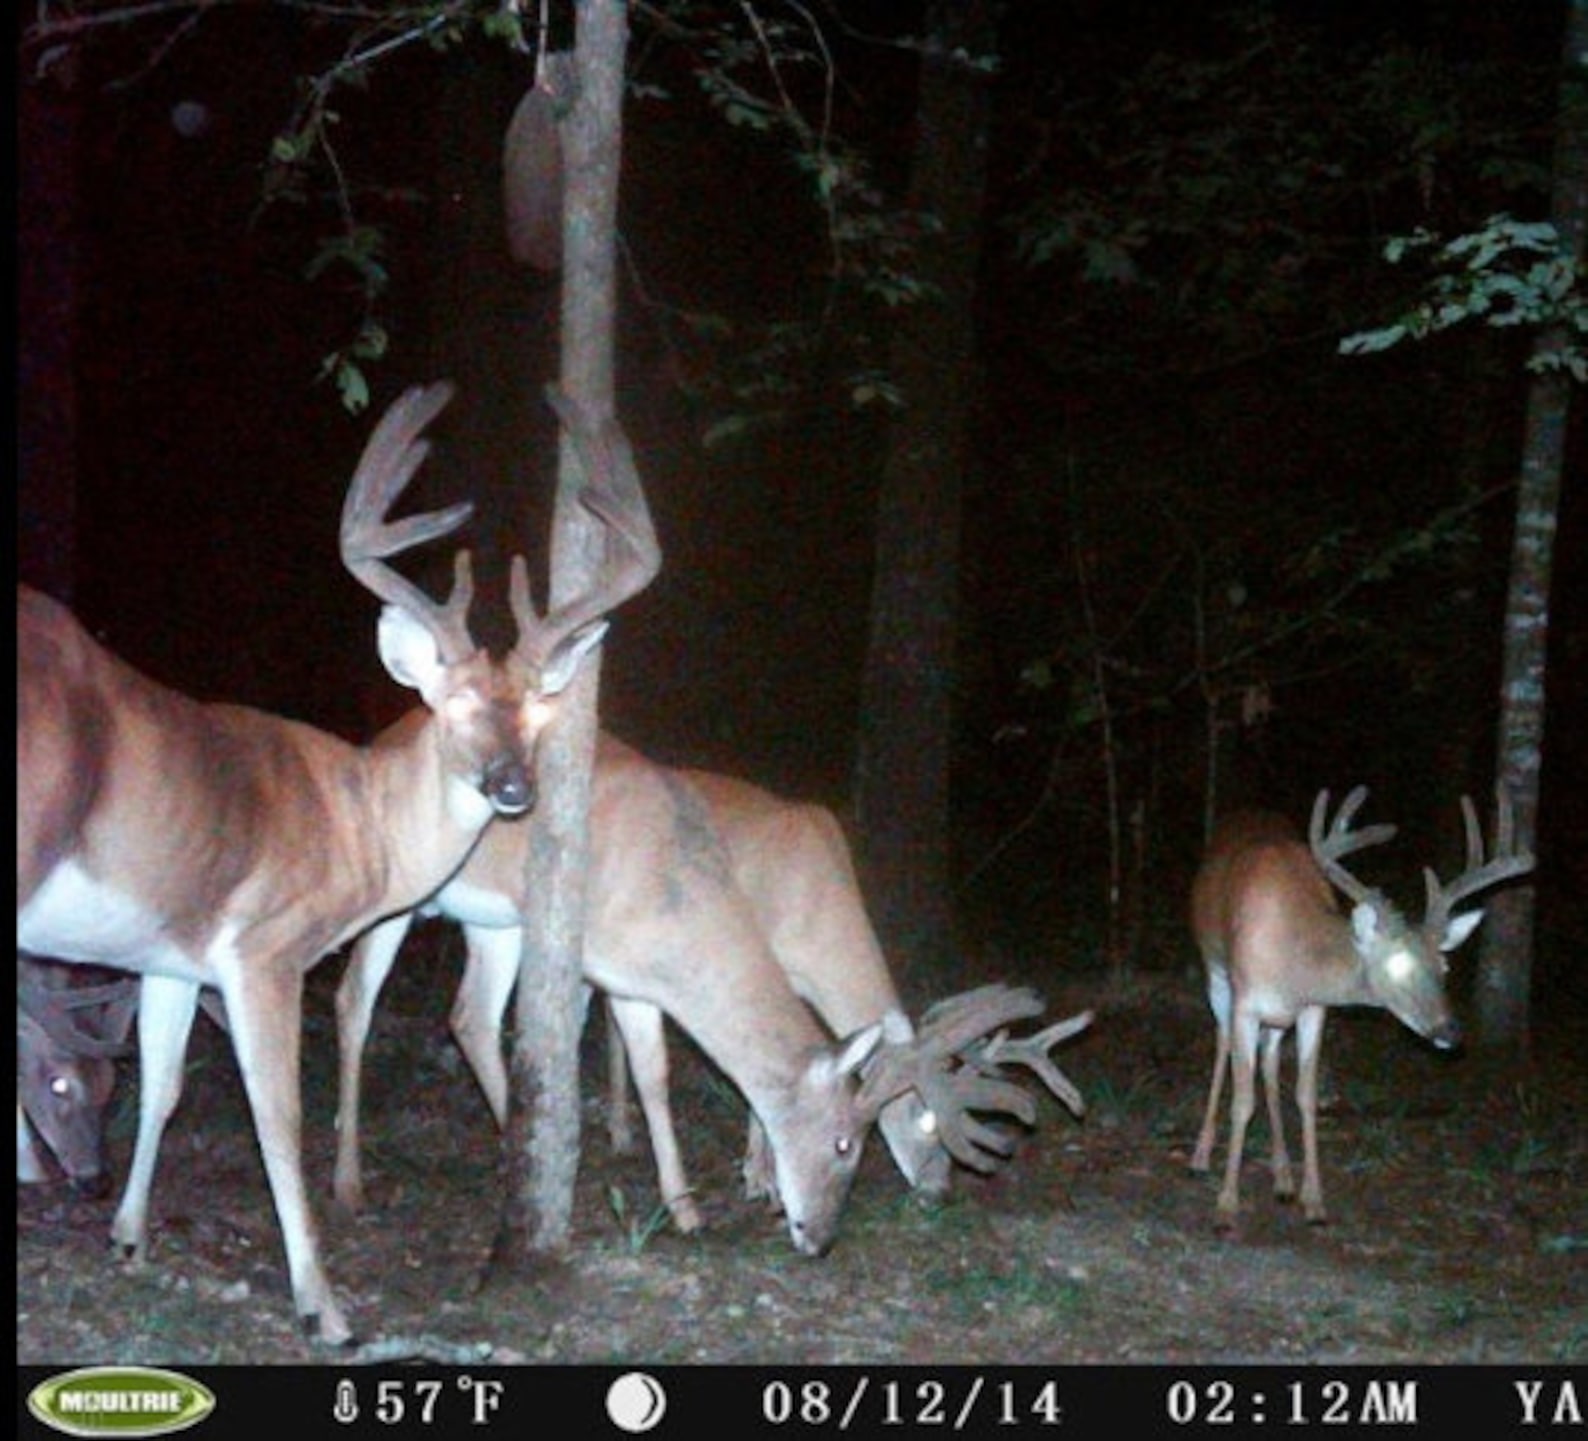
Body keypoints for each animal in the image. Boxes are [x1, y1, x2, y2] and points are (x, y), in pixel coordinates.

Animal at [332, 735, 1094, 1242]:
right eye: (927, 1121)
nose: (937, 1191)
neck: (817, 901)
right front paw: (755, 1179)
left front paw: (742, 1177)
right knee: (356, 999)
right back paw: (351, 1180)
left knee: (456, 1011)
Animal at [1188, 785, 1535, 1229]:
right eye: (1398, 964)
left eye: (1444, 965)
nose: (1451, 1031)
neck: (1294, 958)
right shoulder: (1246, 1003)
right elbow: (1243, 1101)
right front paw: (1227, 1205)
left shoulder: (1314, 1009)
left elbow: (1306, 1096)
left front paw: (1314, 1202)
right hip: (1217, 975)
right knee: (1222, 1044)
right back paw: (1200, 1156)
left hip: (1276, 1020)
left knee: (1269, 1062)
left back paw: (1282, 1177)